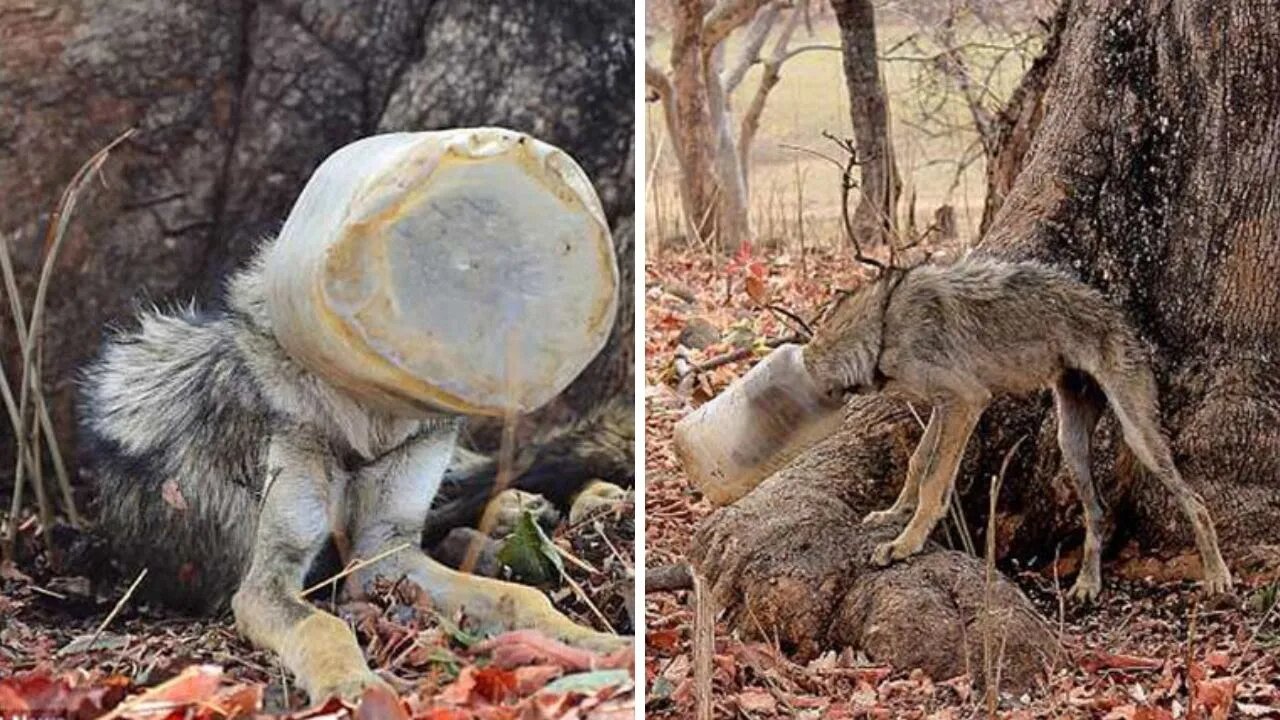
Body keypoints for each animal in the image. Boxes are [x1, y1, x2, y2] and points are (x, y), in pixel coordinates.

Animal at [80, 247, 623, 702]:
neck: (370, 421)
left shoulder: (385, 552)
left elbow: (522, 596)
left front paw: (589, 639)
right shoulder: (268, 580)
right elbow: (323, 626)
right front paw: (353, 687)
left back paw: (576, 501)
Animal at [801, 254, 1233, 600]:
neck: (884, 322)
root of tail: (1121, 318)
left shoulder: (966, 400)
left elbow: (933, 482)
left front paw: (905, 544)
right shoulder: (946, 405)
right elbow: (918, 461)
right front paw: (894, 513)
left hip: (1139, 437)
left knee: (1195, 502)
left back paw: (1217, 576)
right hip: (1070, 443)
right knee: (1097, 512)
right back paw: (1087, 584)